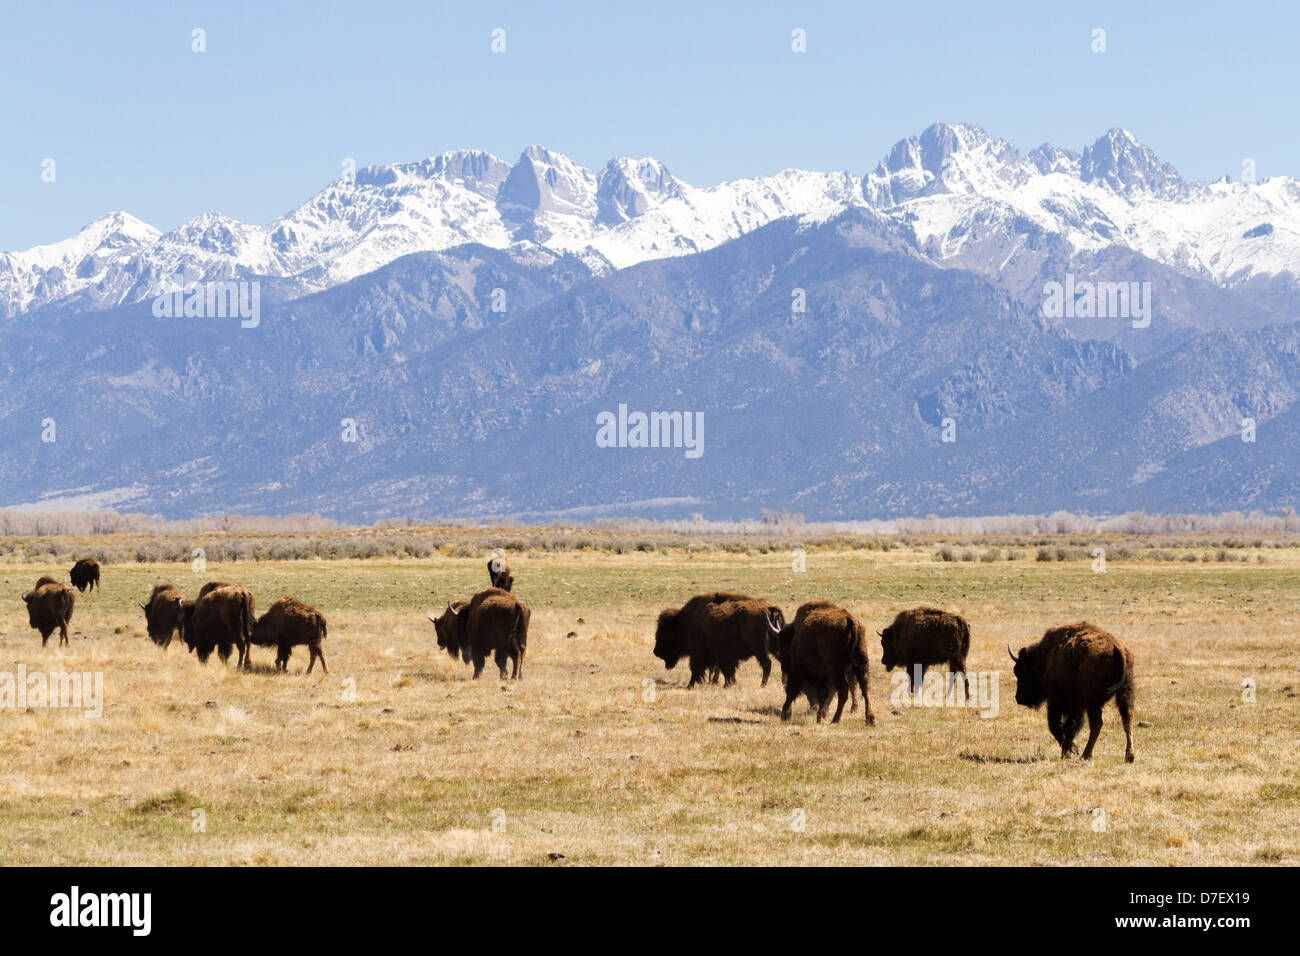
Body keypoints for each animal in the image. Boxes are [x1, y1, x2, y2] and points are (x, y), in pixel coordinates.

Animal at [653, 592, 785, 688]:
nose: (656, 652)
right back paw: (782, 683)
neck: (688, 621)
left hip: (759, 648)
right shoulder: (723, 656)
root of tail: (770, 608)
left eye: (665, 634)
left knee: (767, 663)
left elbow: (698, 669)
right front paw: (725, 683)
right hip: (774, 646)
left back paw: (762, 685)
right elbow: (724, 670)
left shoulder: (700, 653)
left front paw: (691, 685)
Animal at [1010, 622, 1136, 762]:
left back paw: (1086, 755)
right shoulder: (1075, 706)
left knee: (1097, 724)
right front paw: (1068, 750)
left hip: (1093, 701)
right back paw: (1129, 756)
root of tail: (1117, 648)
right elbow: (1069, 727)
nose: (1019, 698)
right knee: (1127, 719)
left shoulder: (1057, 702)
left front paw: (1070, 751)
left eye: (1021, 672)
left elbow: (1057, 727)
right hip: (1125, 694)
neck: (1046, 657)